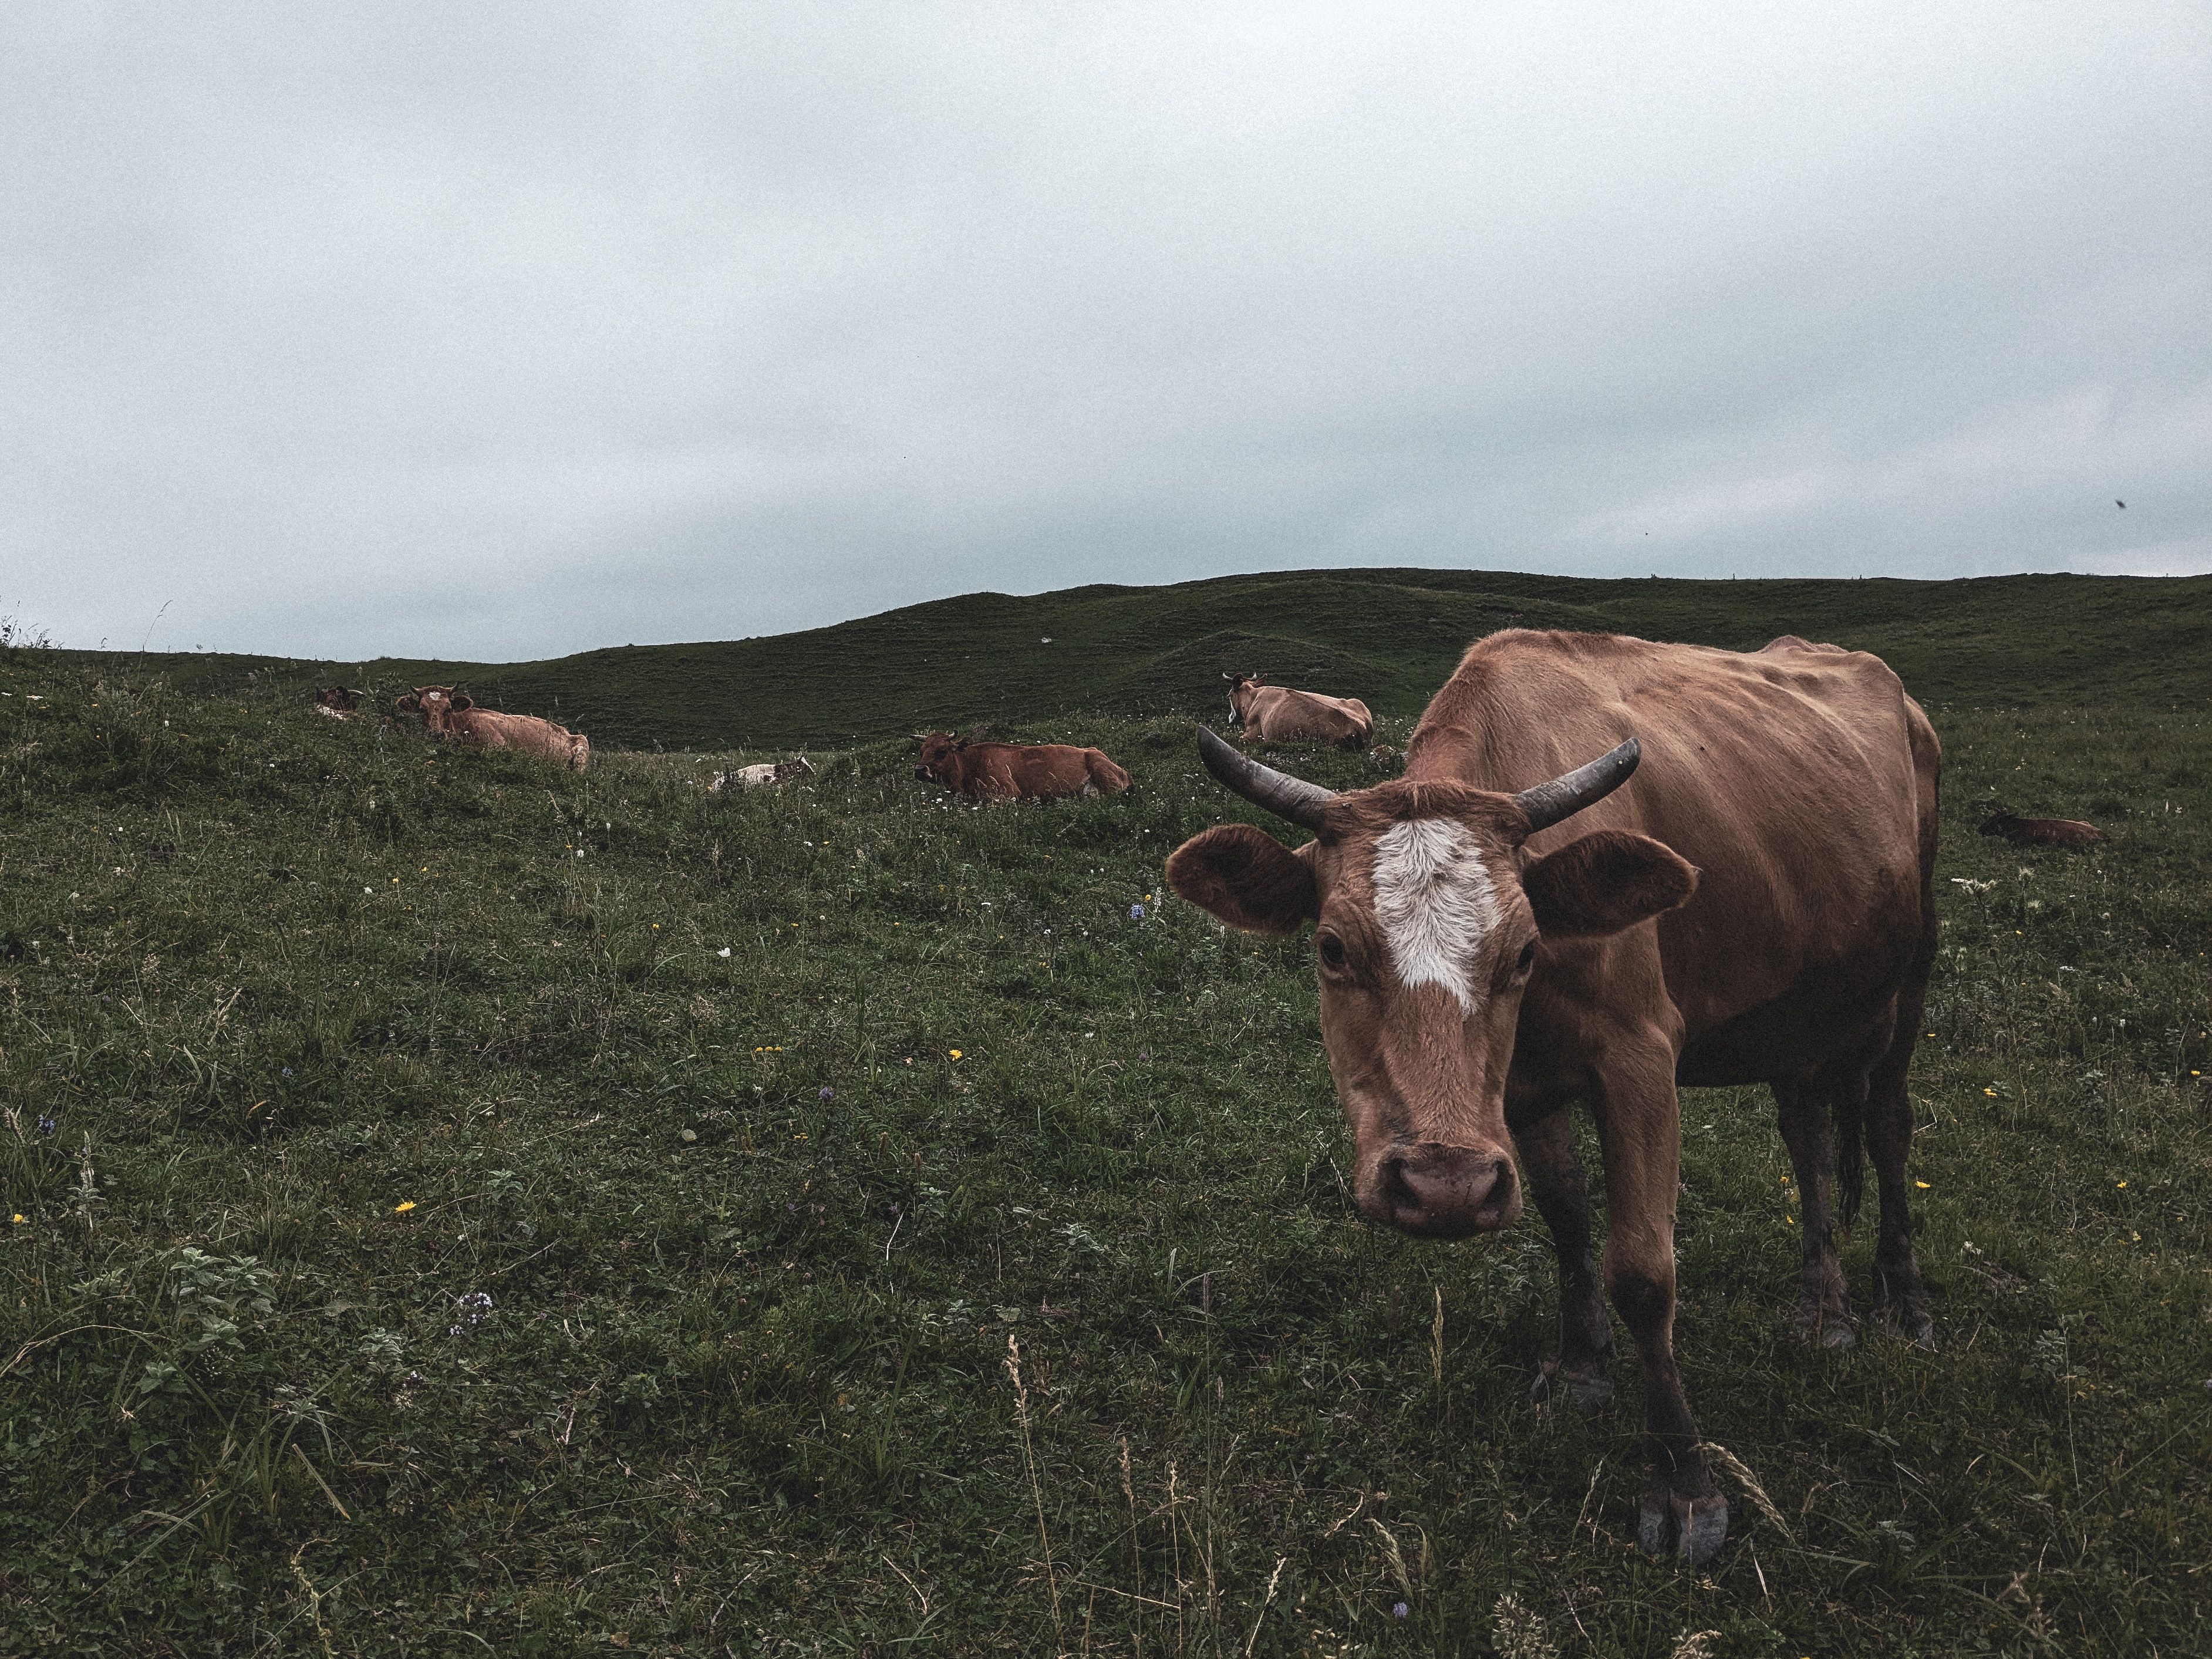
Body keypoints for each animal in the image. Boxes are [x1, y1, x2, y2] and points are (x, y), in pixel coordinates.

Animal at [1224, 673, 1374, 747]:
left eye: (1229, 695)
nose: (1231, 718)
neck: (1253, 697)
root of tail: (1360, 726)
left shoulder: (1251, 732)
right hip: (1357, 701)